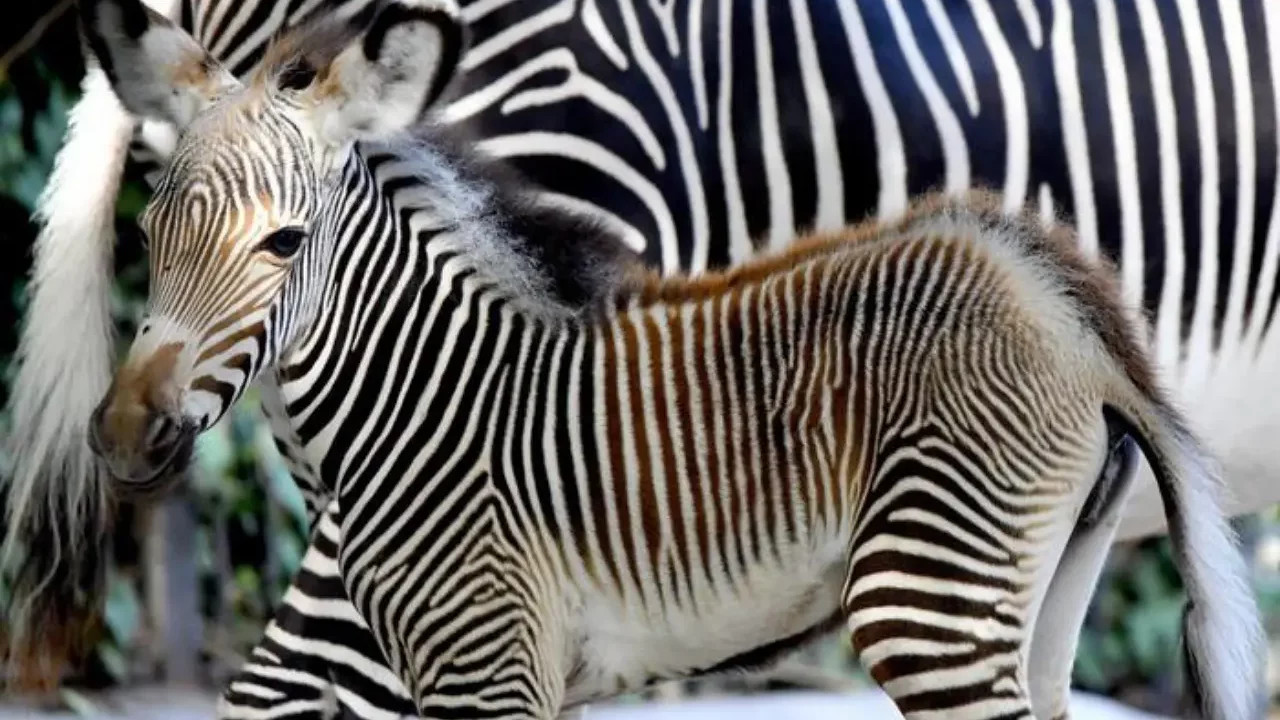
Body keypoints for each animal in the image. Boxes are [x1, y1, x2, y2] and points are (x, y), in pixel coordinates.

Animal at [5, 0, 1280, 713]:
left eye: (283, 243)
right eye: (152, 232)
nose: (122, 434)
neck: (414, 400)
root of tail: (1057, 303)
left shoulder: (488, 665)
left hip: (930, 597)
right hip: (1036, 596)